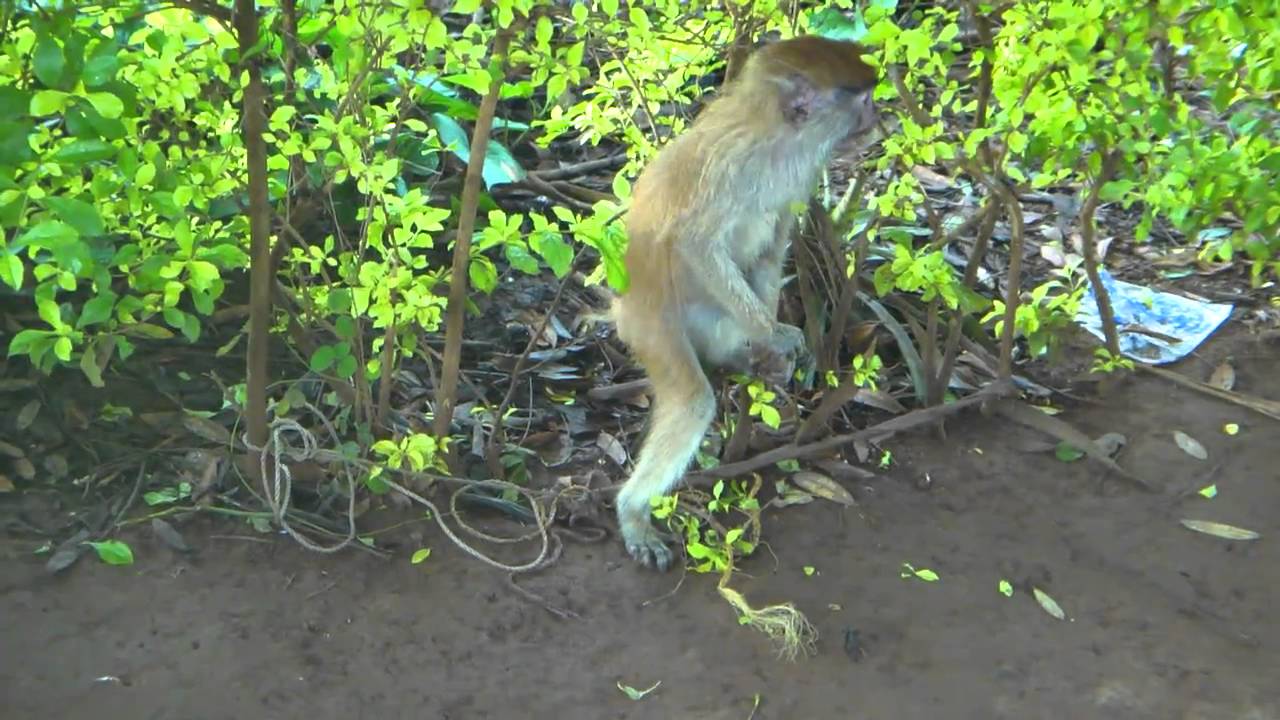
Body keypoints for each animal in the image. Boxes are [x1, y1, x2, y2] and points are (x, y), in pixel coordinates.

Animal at [610, 35, 881, 570]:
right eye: (859, 98)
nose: (876, 113)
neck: (776, 136)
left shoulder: (801, 169)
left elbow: (773, 245)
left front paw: (777, 346)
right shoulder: (731, 162)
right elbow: (697, 244)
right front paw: (776, 337)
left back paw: (742, 358)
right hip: (652, 324)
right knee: (691, 399)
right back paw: (633, 511)